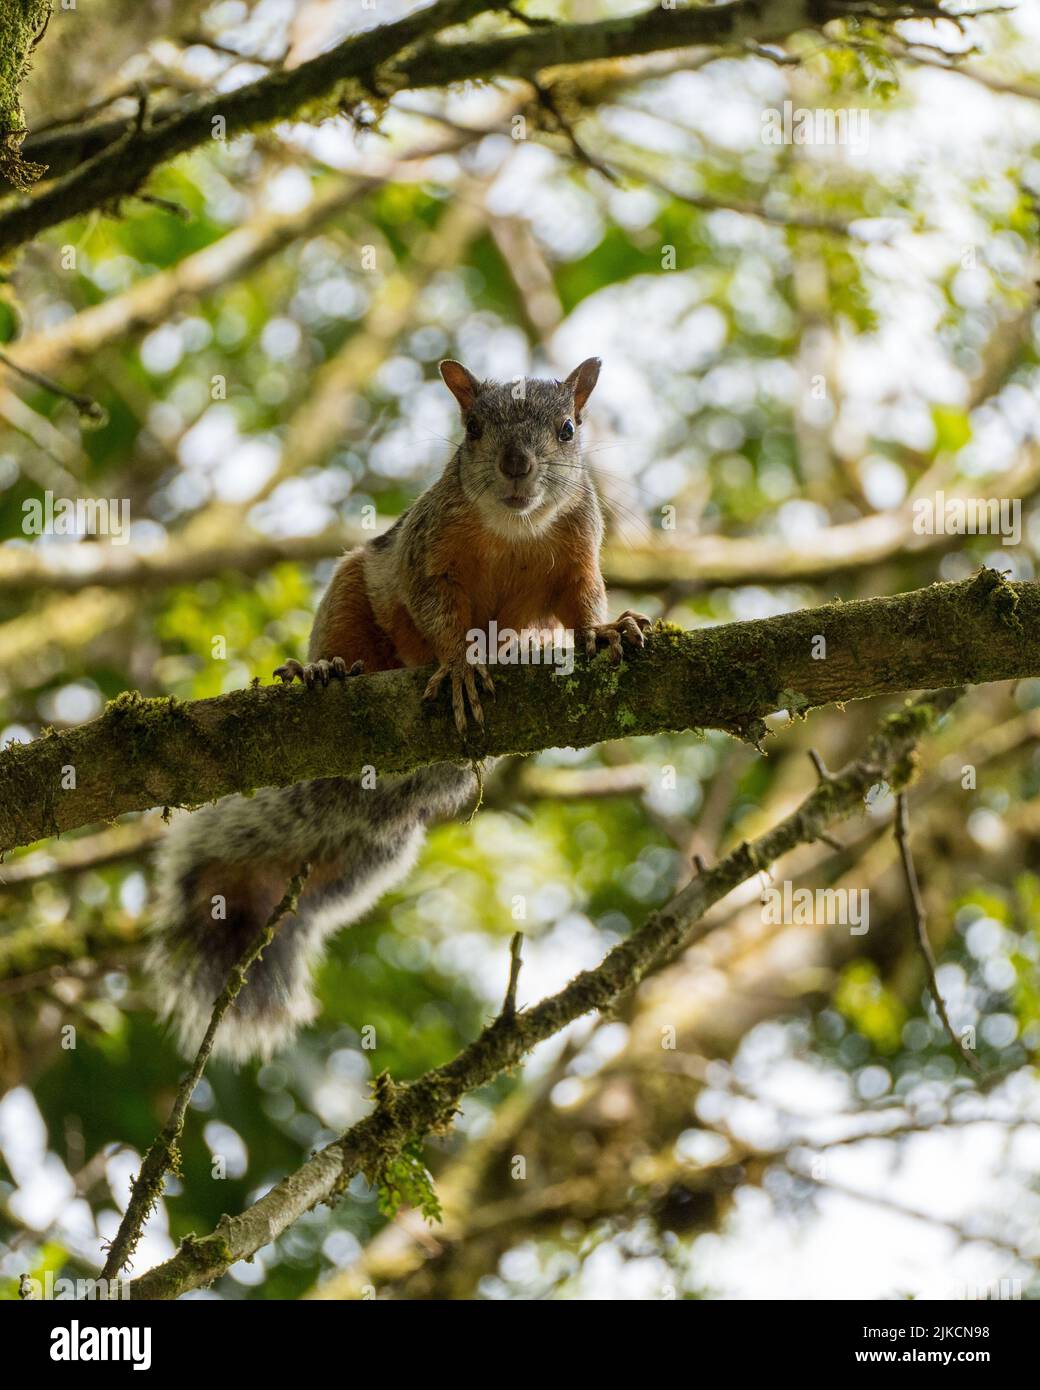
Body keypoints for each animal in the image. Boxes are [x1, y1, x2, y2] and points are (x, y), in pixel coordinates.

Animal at [148, 358, 650, 1064]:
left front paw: (605, 630)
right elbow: (435, 611)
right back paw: (325, 669)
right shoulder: (424, 553)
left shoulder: (578, 549)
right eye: (472, 427)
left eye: (568, 428)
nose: (516, 464)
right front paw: (461, 666)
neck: (515, 530)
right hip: (352, 589)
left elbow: (582, 602)